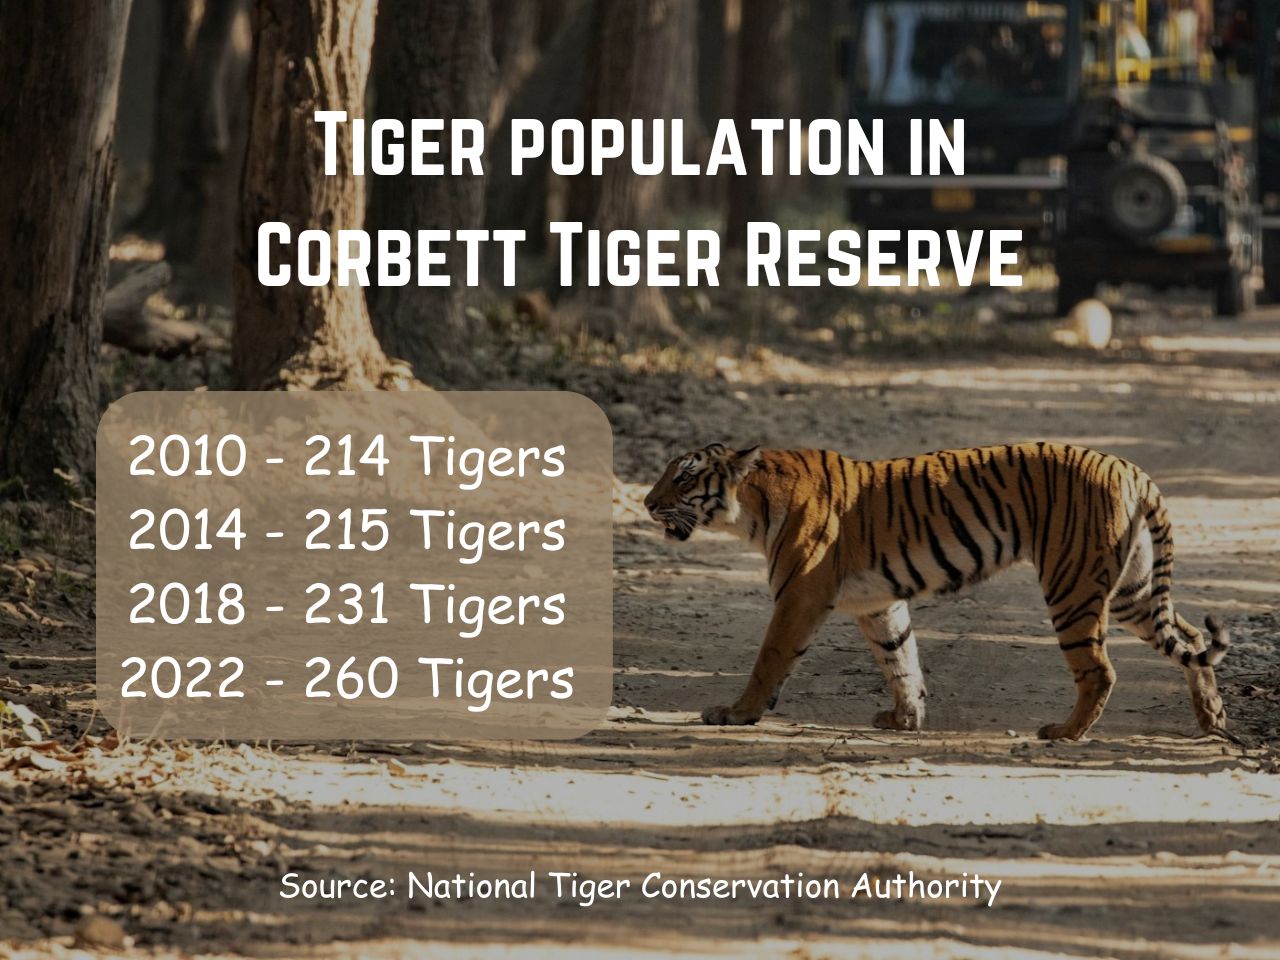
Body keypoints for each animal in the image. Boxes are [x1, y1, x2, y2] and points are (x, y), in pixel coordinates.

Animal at [643, 442, 1229, 740]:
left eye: (683, 477)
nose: (646, 502)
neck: (752, 510)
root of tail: (1128, 466)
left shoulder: (799, 596)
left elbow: (769, 658)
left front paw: (735, 714)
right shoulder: (879, 602)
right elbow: (900, 660)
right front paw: (904, 719)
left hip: (1073, 585)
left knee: (1100, 670)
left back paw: (1064, 732)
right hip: (1132, 590)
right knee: (1192, 636)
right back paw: (1212, 718)